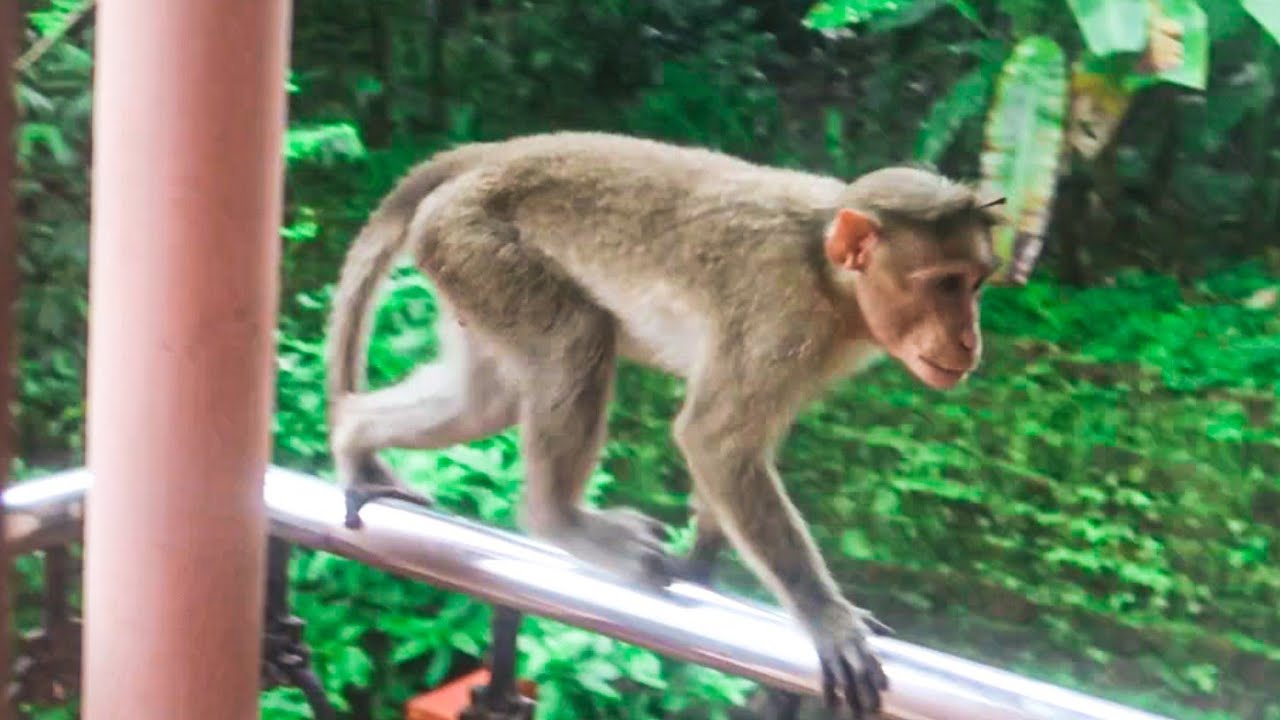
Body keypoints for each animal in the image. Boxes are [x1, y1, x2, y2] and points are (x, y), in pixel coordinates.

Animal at [325, 131, 1001, 718]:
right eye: (943, 284)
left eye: (974, 283)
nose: (970, 339)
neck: (829, 274)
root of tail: (495, 154)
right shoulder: (785, 318)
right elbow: (714, 437)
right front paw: (825, 616)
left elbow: (730, 448)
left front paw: (701, 559)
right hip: (478, 242)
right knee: (575, 339)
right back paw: (558, 520)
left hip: (463, 263)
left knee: (482, 401)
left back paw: (356, 440)